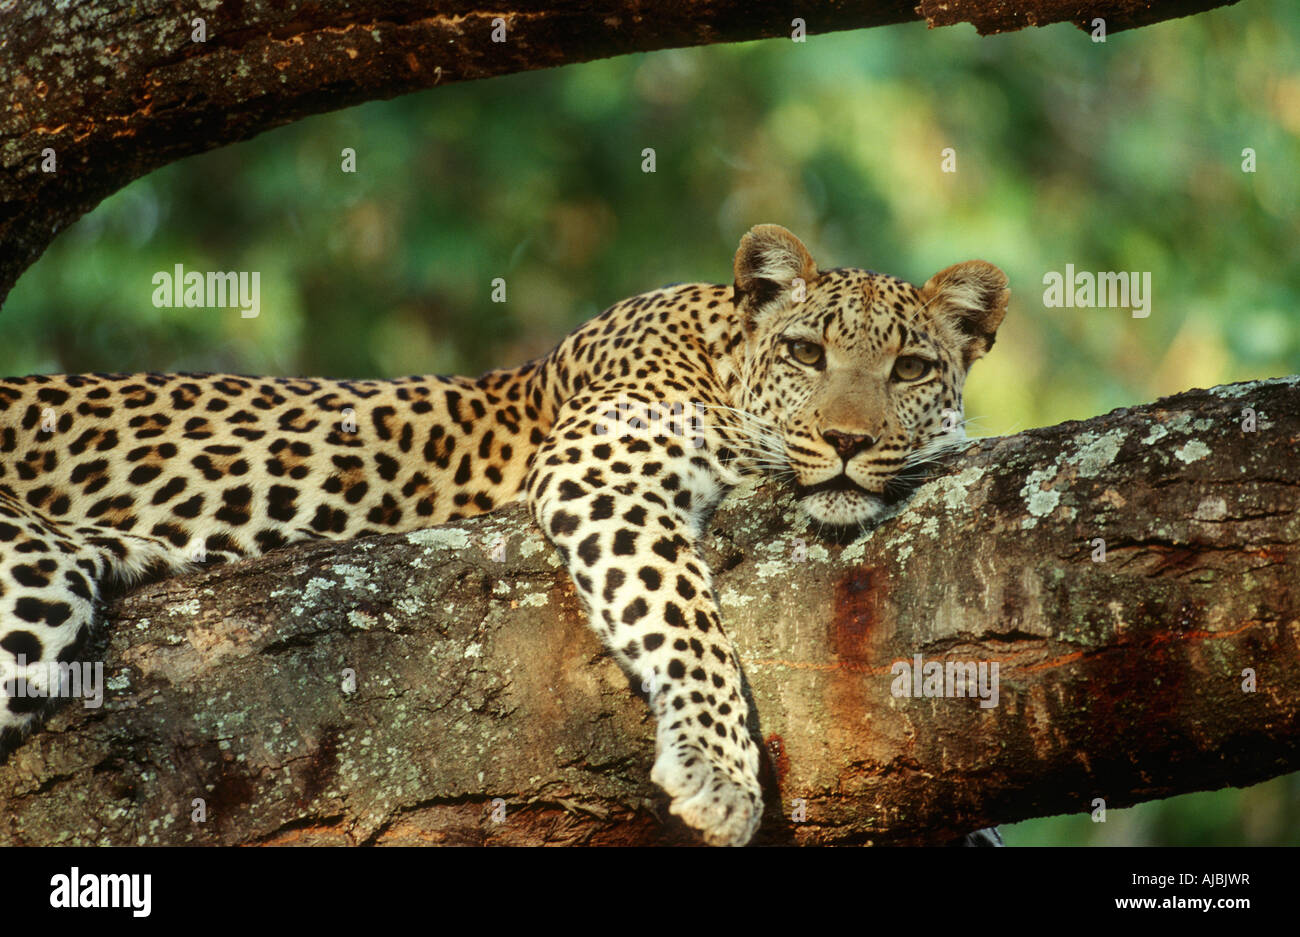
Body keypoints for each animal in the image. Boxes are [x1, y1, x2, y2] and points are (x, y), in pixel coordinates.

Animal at [0, 225, 1008, 846]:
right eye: (806, 353)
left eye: (912, 369)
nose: (849, 441)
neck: (718, 350)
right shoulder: (601, 468)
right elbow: (685, 621)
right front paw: (717, 768)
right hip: (29, 576)